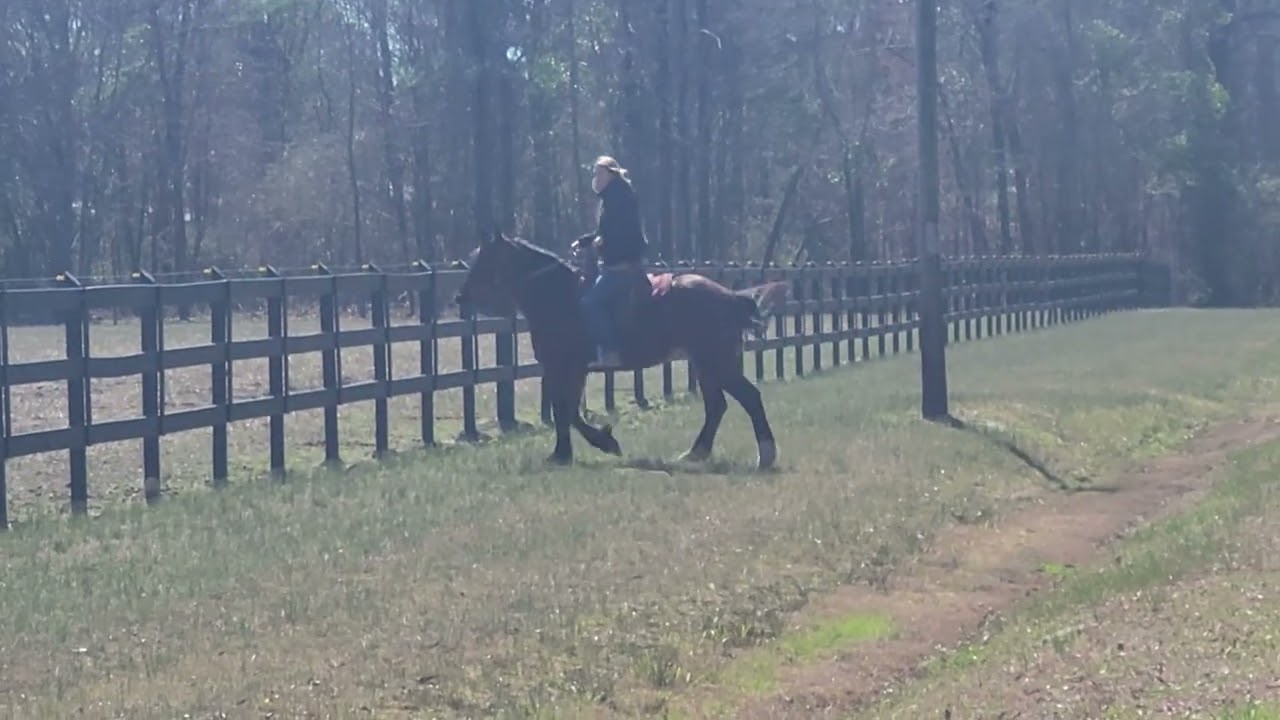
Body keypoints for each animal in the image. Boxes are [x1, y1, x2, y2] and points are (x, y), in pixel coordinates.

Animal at [453, 230, 790, 470]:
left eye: (487, 259)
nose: (460, 297)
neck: (560, 297)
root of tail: (730, 297)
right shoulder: (571, 370)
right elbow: (567, 411)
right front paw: (567, 452)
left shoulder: (566, 366)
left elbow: (566, 411)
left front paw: (597, 444)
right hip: (706, 364)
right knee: (717, 406)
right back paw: (696, 454)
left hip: (716, 361)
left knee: (747, 398)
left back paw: (765, 455)